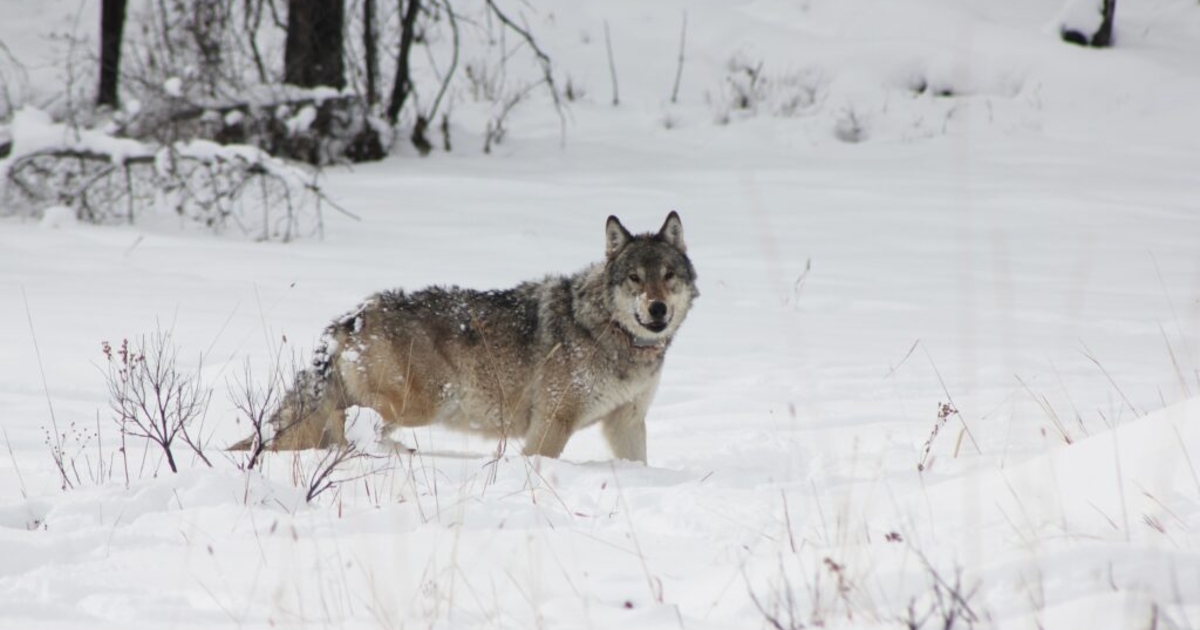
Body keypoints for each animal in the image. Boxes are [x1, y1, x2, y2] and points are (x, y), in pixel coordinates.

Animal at [231, 212, 698, 463]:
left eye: (667, 276)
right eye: (635, 278)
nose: (657, 309)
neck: (607, 331)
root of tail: (352, 317)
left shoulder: (628, 423)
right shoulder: (552, 423)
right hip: (424, 402)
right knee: (362, 429)